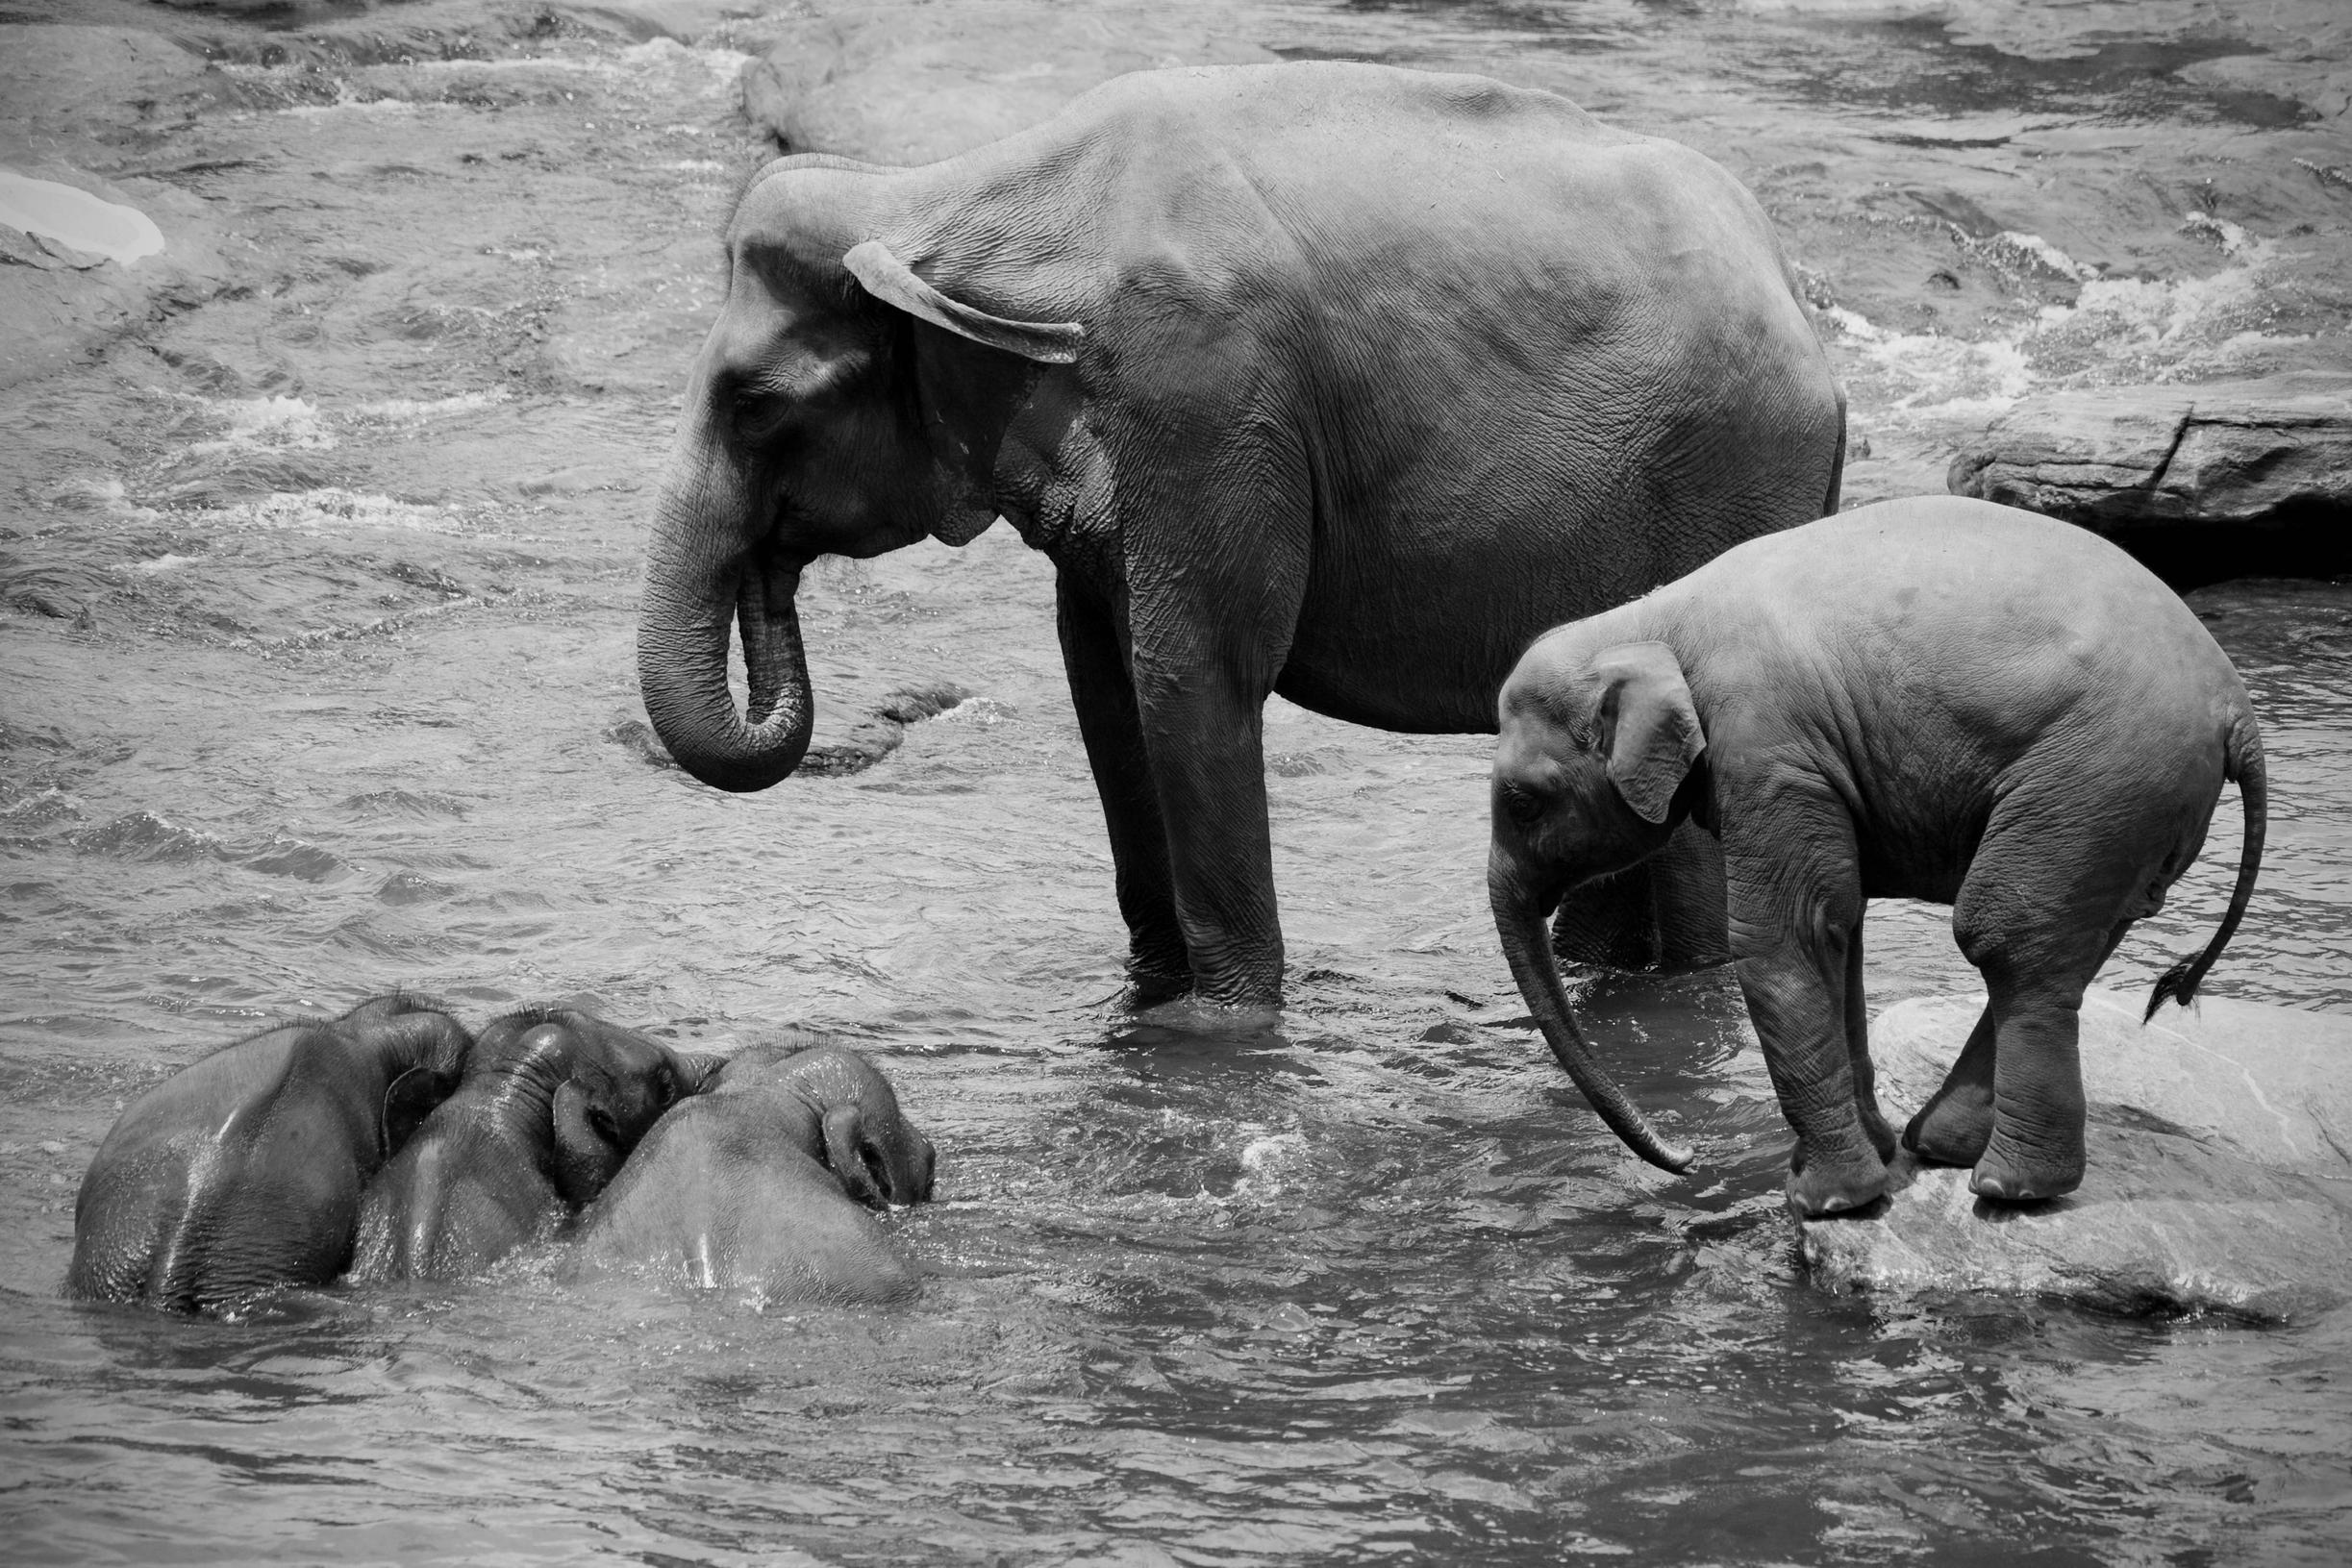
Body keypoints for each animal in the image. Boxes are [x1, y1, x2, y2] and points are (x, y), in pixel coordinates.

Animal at [635, 60, 1846, 1010]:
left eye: (754, 405)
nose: (772, 575)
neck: (954, 188)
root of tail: (1796, 295)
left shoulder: (1207, 400)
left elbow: (1191, 677)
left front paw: (1220, 1023)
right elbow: (1101, 682)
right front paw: (1148, 995)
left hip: (1732, 481)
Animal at [1484, 497, 2265, 1217]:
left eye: (1523, 801)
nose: (1686, 1156)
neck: (1648, 621)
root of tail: (2238, 711)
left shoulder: (1768, 751)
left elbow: (1786, 935)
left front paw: (1828, 1200)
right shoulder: (1808, 770)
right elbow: (1840, 929)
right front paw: (1871, 1160)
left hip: (2097, 779)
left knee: (2005, 937)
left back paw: (2009, 1187)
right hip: (2134, 809)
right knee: (2067, 945)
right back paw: (1941, 1146)